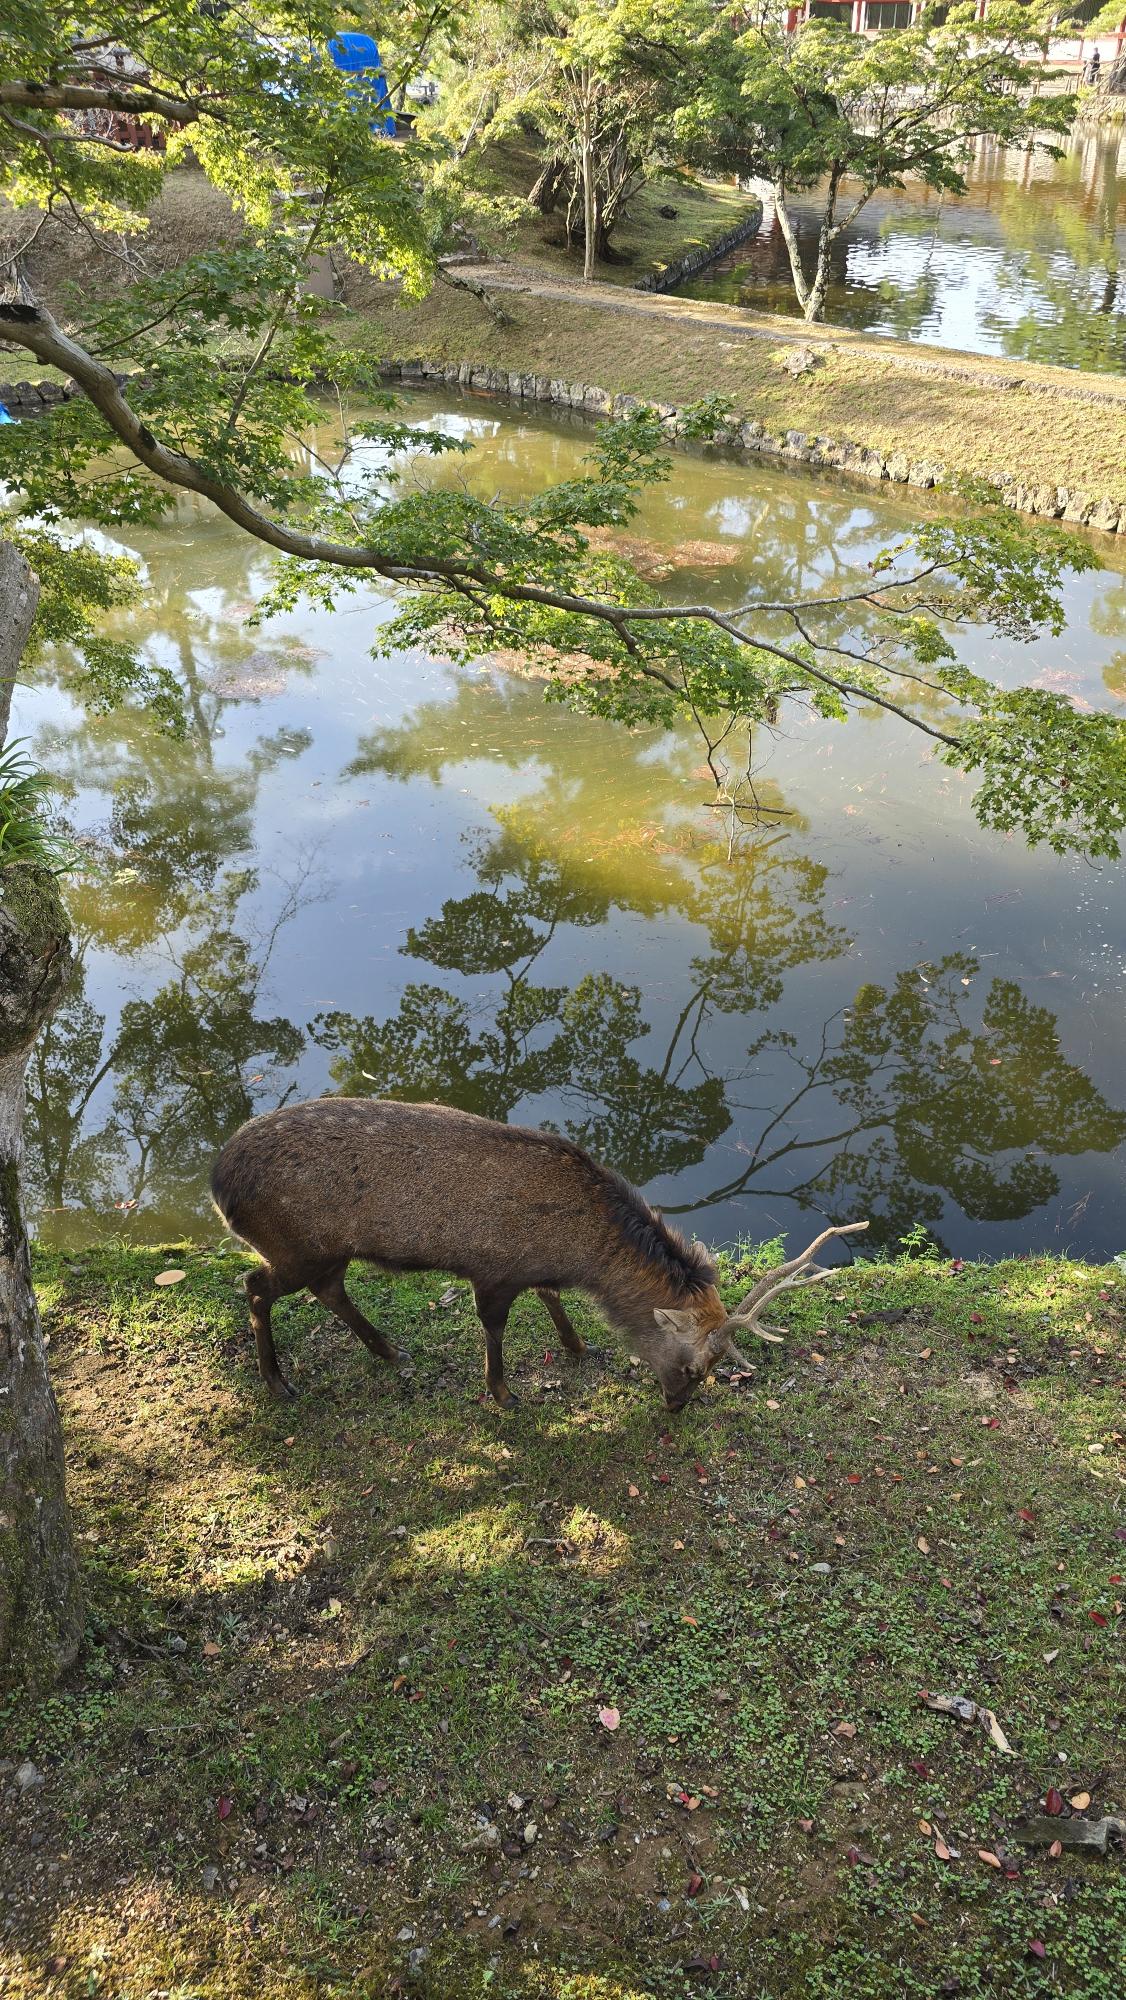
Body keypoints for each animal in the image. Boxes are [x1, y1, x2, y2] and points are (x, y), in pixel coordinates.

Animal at [207, 1104, 868, 1416]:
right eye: (695, 1367)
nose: (677, 1405)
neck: (578, 1251)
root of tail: (218, 1183)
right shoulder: (493, 1270)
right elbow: (494, 1328)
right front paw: (502, 1393)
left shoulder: (533, 1270)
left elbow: (551, 1299)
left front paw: (578, 1347)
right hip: (292, 1246)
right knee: (254, 1284)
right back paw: (276, 1380)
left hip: (328, 1253)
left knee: (329, 1291)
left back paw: (389, 1351)